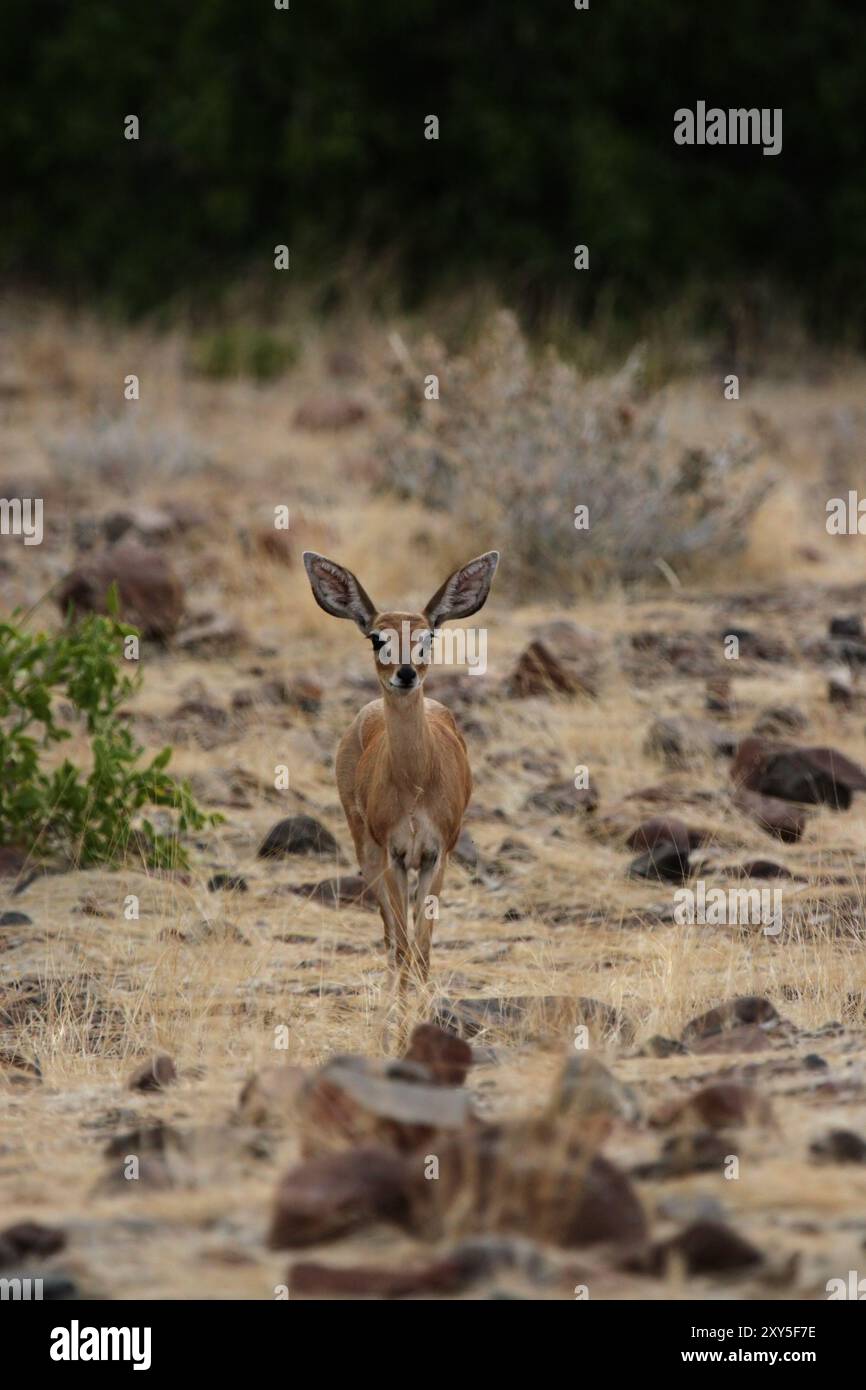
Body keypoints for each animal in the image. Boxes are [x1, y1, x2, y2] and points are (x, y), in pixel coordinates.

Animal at [303, 549, 499, 998]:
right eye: (378, 638)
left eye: (428, 637)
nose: (406, 673)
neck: (415, 784)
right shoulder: (392, 854)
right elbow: (405, 942)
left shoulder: (436, 855)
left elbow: (423, 947)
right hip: (367, 851)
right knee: (391, 936)